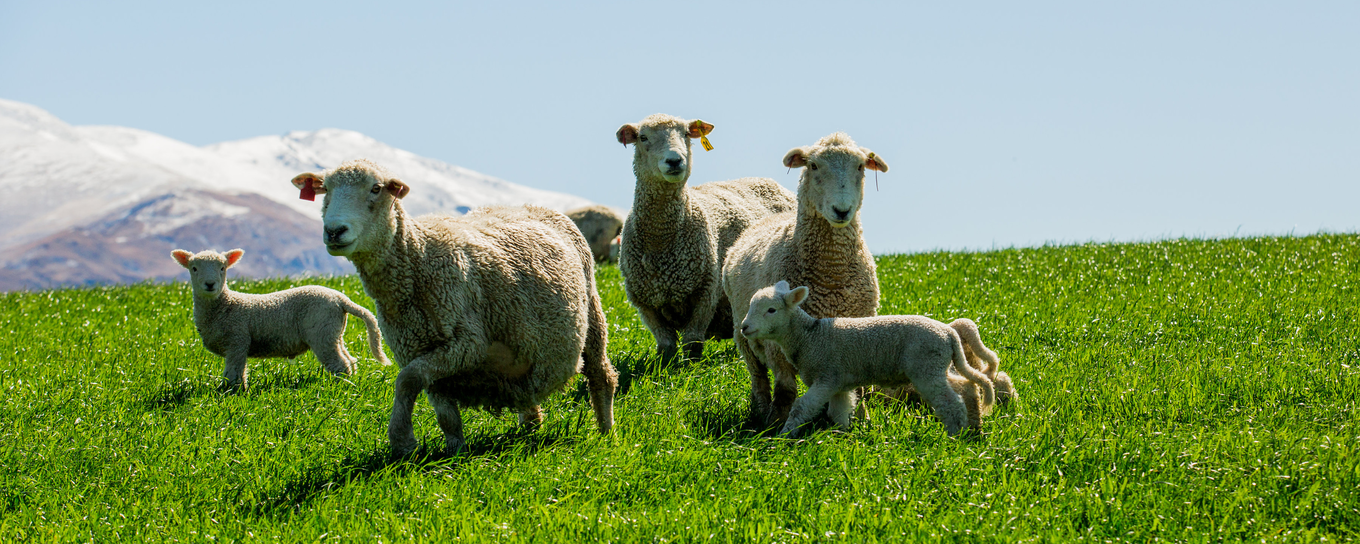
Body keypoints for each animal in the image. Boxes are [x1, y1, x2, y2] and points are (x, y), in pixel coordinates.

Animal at [171, 248, 389, 390]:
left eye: (223, 267)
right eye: (194, 268)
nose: (210, 284)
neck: (226, 305)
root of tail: (340, 298)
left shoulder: (238, 341)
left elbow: (234, 374)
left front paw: (233, 394)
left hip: (321, 331)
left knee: (339, 364)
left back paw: (341, 389)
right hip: (333, 330)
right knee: (349, 360)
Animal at [290, 159, 617, 456]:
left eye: (376, 188)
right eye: (325, 190)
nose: (334, 231)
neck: (418, 260)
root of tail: (534, 206)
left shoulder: (467, 343)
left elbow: (406, 380)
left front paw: (402, 441)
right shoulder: (420, 350)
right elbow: (444, 413)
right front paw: (454, 454)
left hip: (592, 311)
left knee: (602, 375)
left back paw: (605, 434)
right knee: (529, 393)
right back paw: (530, 429)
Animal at [616, 114, 797, 363]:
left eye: (685, 134)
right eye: (643, 137)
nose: (674, 161)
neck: (660, 241)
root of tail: (768, 182)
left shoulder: (706, 291)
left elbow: (692, 342)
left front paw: (690, 367)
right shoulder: (644, 302)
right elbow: (666, 345)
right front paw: (665, 367)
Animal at [722, 132, 885, 428]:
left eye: (860, 167)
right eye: (813, 166)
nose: (841, 210)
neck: (832, 273)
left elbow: (858, 386)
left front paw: (862, 419)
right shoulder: (777, 343)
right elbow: (785, 390)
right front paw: (775, 425)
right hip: (744, 334)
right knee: (758, 376)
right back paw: (760, 412)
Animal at [738, 281, 995, 438]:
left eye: (771, 310)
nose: (744, 327)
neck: (809, 336)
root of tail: (949, 333)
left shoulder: (826, 376)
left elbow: (801, 406)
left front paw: (784, 436)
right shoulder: (838, 383)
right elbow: (839, 411)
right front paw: (840, 436)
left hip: (926, 368)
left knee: (950, 402)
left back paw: (954, 435)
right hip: (938, 366)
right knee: (967, 386)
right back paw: (972, 428)